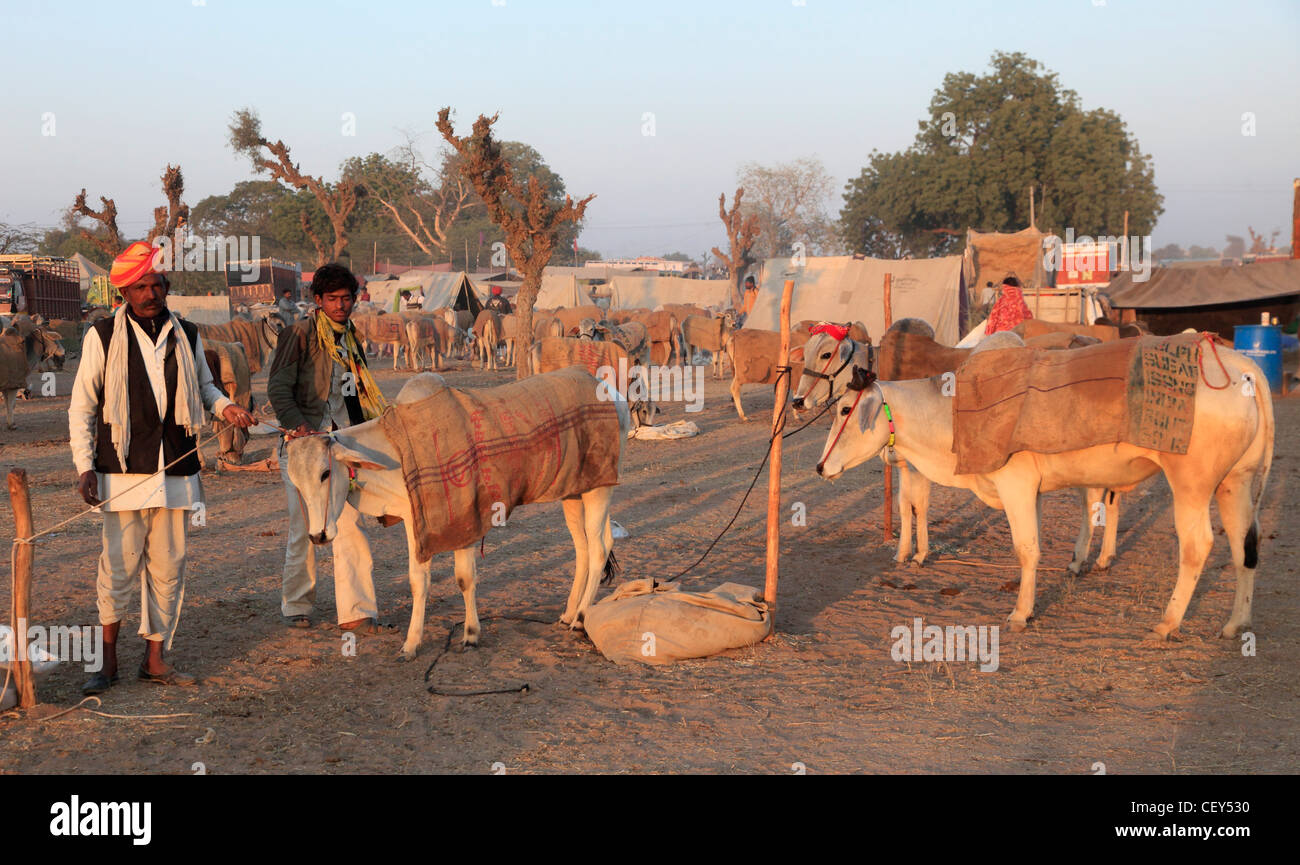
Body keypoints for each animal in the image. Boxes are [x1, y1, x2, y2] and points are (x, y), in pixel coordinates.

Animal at [282, 370, 631, 658]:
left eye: (325, 473)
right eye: (295, 482)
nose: (318, 535)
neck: (395, 448)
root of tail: (613, 394)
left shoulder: (463, 520)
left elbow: (459, 579)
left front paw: (450, 637)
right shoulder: (417, 523)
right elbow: (422, 581)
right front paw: (436, 639)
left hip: (599, 490)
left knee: (599, 547)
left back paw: (581, 620)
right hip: (574, 493)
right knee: (583, 547)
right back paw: (569, 613)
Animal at [813, 334, 1274, 640]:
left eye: (845, 409)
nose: (819, 467)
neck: (955, 411)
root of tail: (1242, 367)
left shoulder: (1015, 485)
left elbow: (1026, 549)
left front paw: (1021, 613)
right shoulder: (1031, 490)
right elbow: (1032, 550)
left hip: (1191, 486)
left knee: (1197, 547)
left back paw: (1168, 621)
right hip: (1235, 483)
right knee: (1244, 546)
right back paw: (1236, 623)